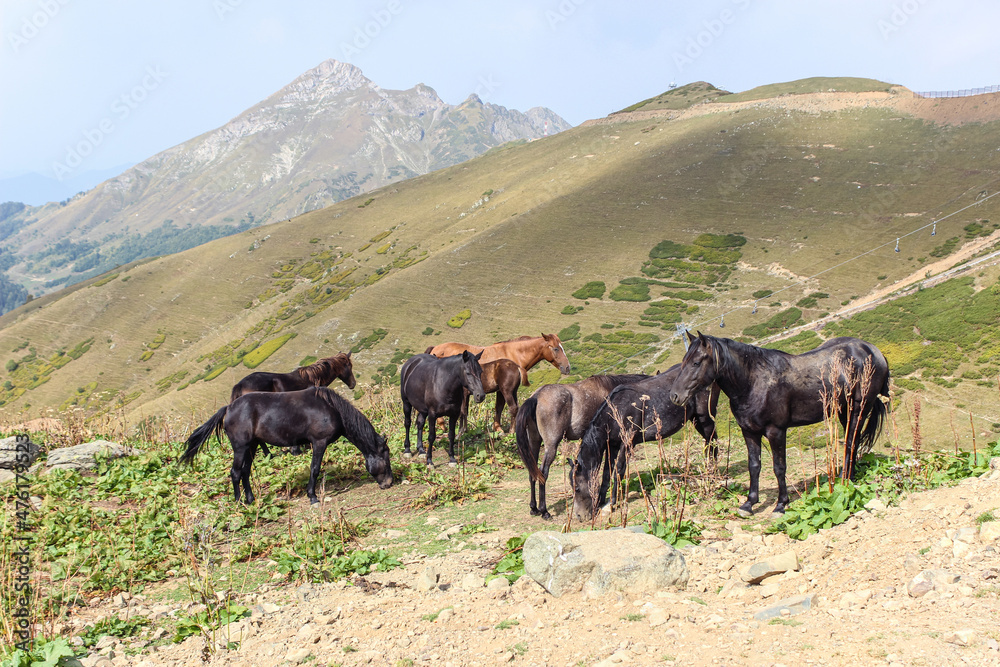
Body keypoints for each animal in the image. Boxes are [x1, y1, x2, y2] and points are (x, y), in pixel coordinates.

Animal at [180, 386, 392, 505]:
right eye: (386, 456)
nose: (389, 483)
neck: (332, 409)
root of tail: (229, 408)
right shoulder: (319, 442)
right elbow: (315, 469)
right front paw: (312, 496)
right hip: (240, 448)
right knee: (235, 473)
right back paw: (240, 502)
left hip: (252, 446)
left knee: (245, 472)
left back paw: (251, 499)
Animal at [514, 373, 650, 520]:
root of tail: (536, 396)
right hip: (551, 446)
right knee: (543, 472)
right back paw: (544, 511)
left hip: (534, 441)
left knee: (533, 472)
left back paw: (534, 508)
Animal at [570, 365, 720, 522]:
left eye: (577, 488)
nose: (580, 516)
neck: (617, 410)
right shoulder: (613, 446)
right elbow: (607, 474)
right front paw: (600, 501)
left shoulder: (627, 443)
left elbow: (619, 471)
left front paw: (612, 502)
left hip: (705, 418)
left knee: (712, 442)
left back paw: (712, 474)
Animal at [668, 332, 890, 516]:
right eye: (684, 361)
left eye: (696, 362)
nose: (675, 396)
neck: (754, 382)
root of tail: (872, 350)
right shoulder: (749, 432)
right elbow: (754, 465)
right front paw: (749, 503)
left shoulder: (776, 431)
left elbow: (779, 467)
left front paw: (781, 504)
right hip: (844, 411)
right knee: (852, 441)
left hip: (858, 409)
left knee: (851, 442)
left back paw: (845, 479)